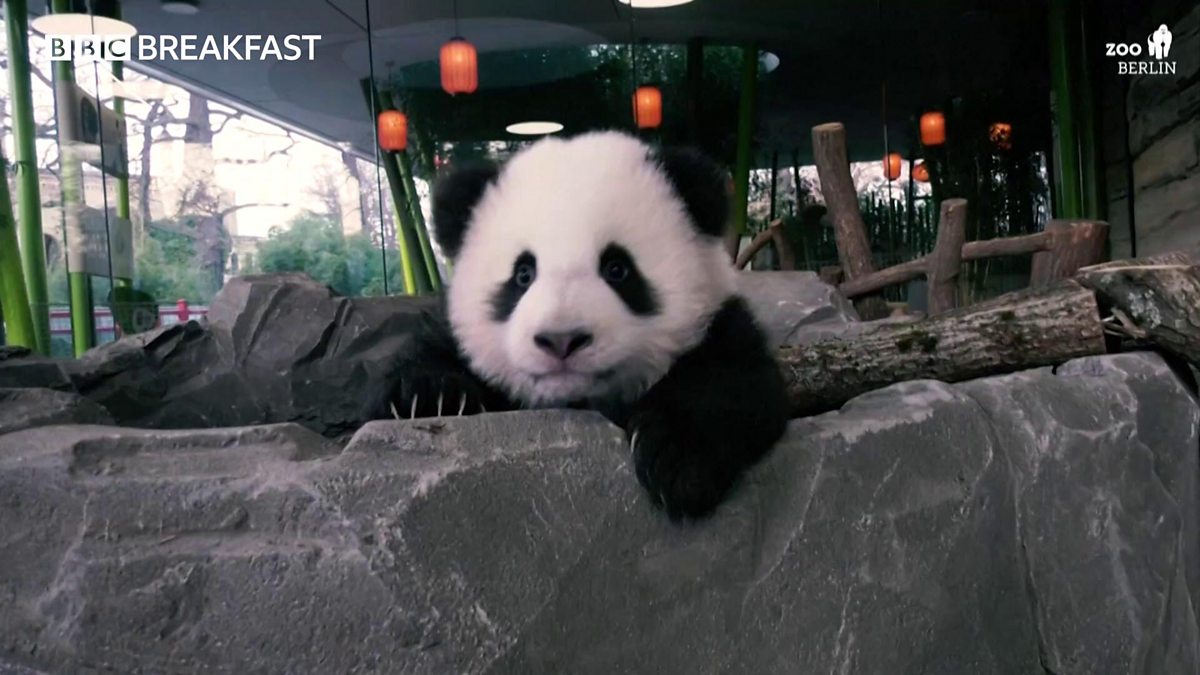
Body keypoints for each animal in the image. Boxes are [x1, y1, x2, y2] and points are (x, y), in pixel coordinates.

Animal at [386, 130, 791, 519]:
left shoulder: (718, 325)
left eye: (617, 269)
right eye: (523, 274)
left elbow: (738, 387)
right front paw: (434, 396)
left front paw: (679, 464)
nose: (561, 339)